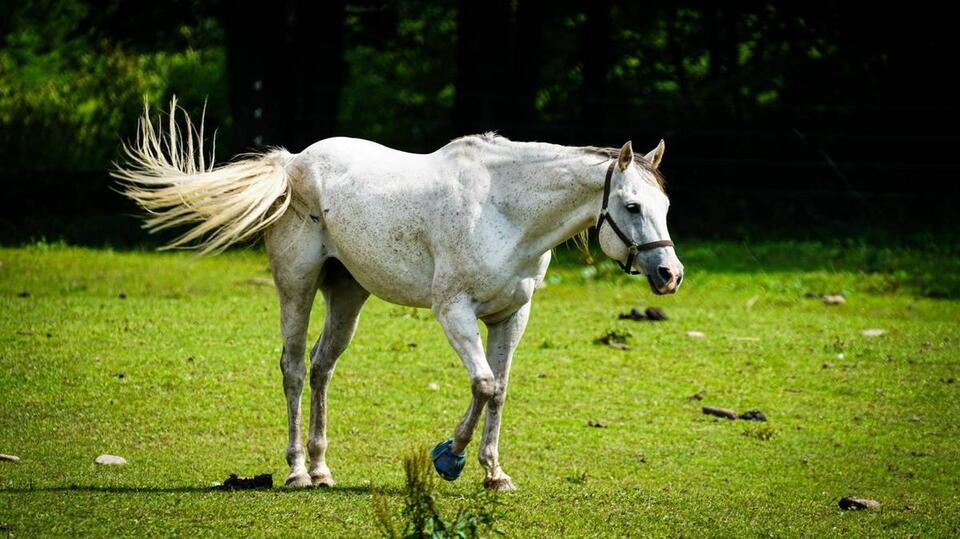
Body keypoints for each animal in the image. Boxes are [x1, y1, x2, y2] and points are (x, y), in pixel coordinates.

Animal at [113, 99, 684, 491]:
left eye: (664, 204)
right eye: (632, 206)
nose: (670, 274)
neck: (504, 209)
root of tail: (293, 162)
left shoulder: (510, 316)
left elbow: (499, 389)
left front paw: (494, 474)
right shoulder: (453, 310)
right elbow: (482, 384)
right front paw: (448, 458)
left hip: (347, 295)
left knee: (321, 367)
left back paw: (321, 469)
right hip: (297, 286)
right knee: (294, 368)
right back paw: (297, 471)